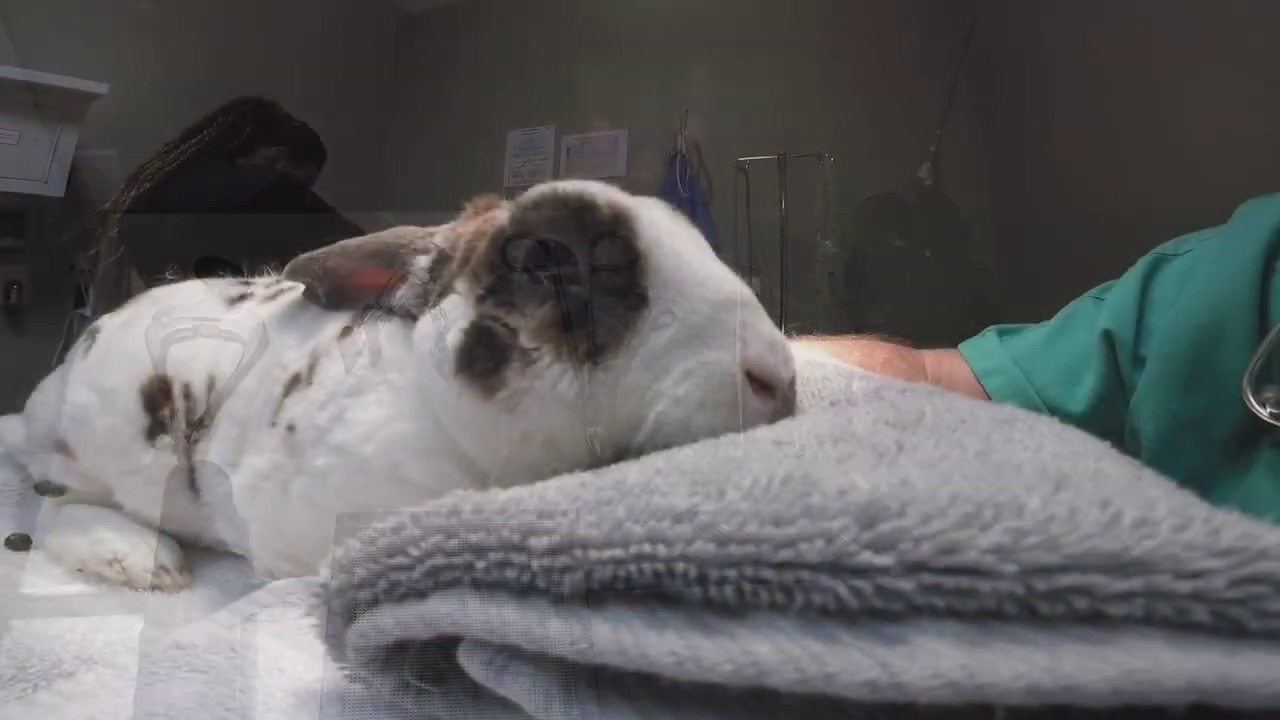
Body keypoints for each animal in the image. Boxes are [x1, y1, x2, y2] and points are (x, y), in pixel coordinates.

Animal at [0, 179, 797, 592]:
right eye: (545, 262)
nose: (779, 379)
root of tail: (37, 409)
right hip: (110, 451)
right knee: (54, 507)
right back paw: (140, 561)